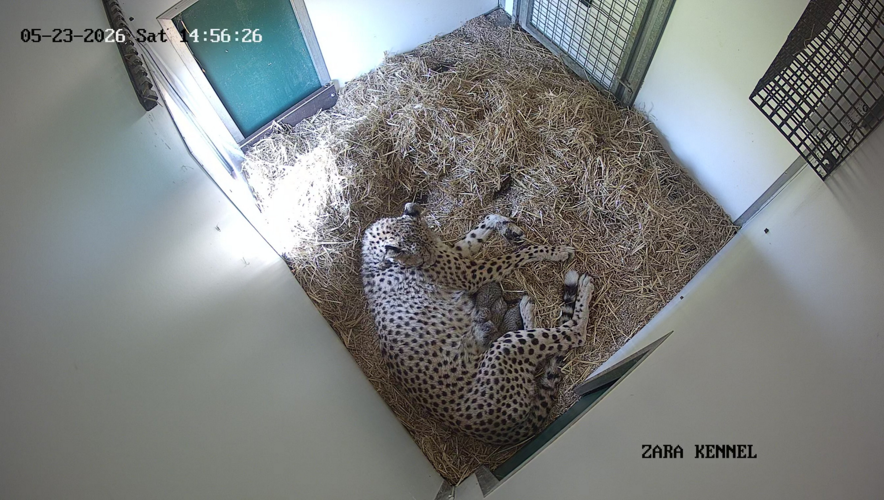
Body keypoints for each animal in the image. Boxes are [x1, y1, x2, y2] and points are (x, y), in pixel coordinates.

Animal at [361, 202, 595, 445]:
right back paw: (582, 292)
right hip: (505, 348)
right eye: (422, 259)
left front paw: (505, 225)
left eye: (426, 254)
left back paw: (527, 308)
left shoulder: (455, 254)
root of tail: (497, 433)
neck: (378, 260)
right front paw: (554, 251)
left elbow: (480, 228)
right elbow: (518, 254)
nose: (429, 260)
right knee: (573, 333)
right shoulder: (471, 273)